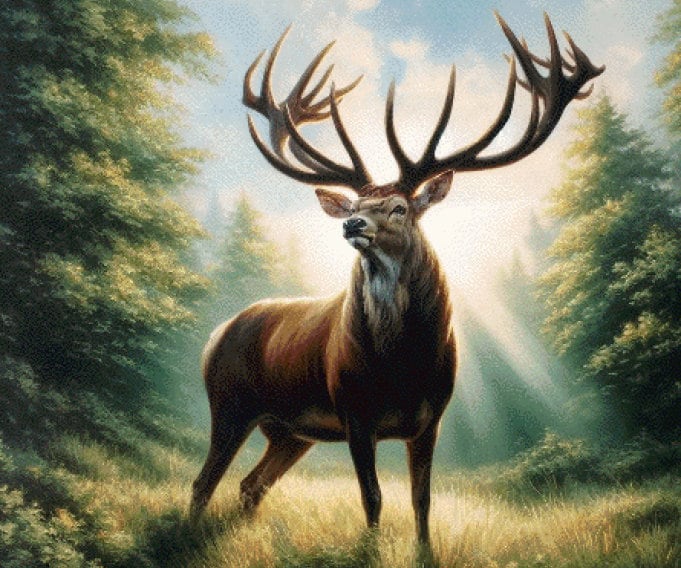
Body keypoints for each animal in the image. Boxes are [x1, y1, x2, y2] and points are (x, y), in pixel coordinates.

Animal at [190, 12, 603, 545]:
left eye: (399, 207)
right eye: (355, 203)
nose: (352, 223)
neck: (401, 367)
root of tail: (216, 334)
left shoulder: (430, 419)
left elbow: (421, 501)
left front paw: (424, 550)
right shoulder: (354, 414)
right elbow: (373, 499)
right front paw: (371, 549)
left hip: (290, 431)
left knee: (249, 484)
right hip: (229, 403)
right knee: (204, 482)